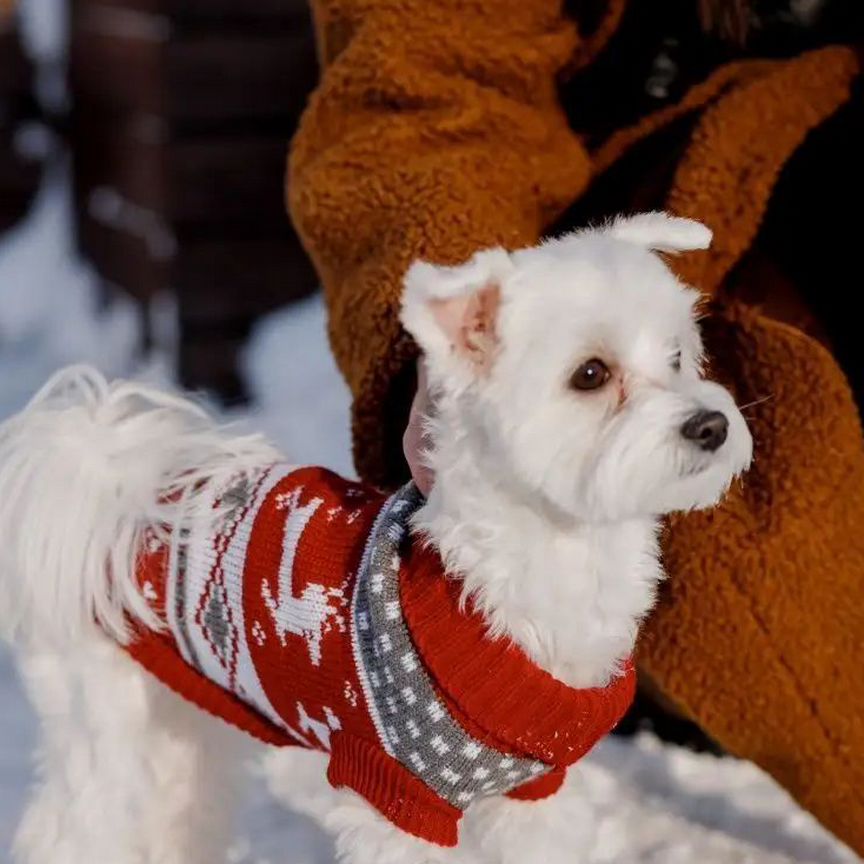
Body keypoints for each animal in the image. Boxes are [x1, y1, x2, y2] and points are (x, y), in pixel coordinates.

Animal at [0, 211, 748, 864]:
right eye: (591, 374)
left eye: (678, 357)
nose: (712, 425)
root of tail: (112, 481)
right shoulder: (397, 796)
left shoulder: (534, 791)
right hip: (108, 731)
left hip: (183, 730)